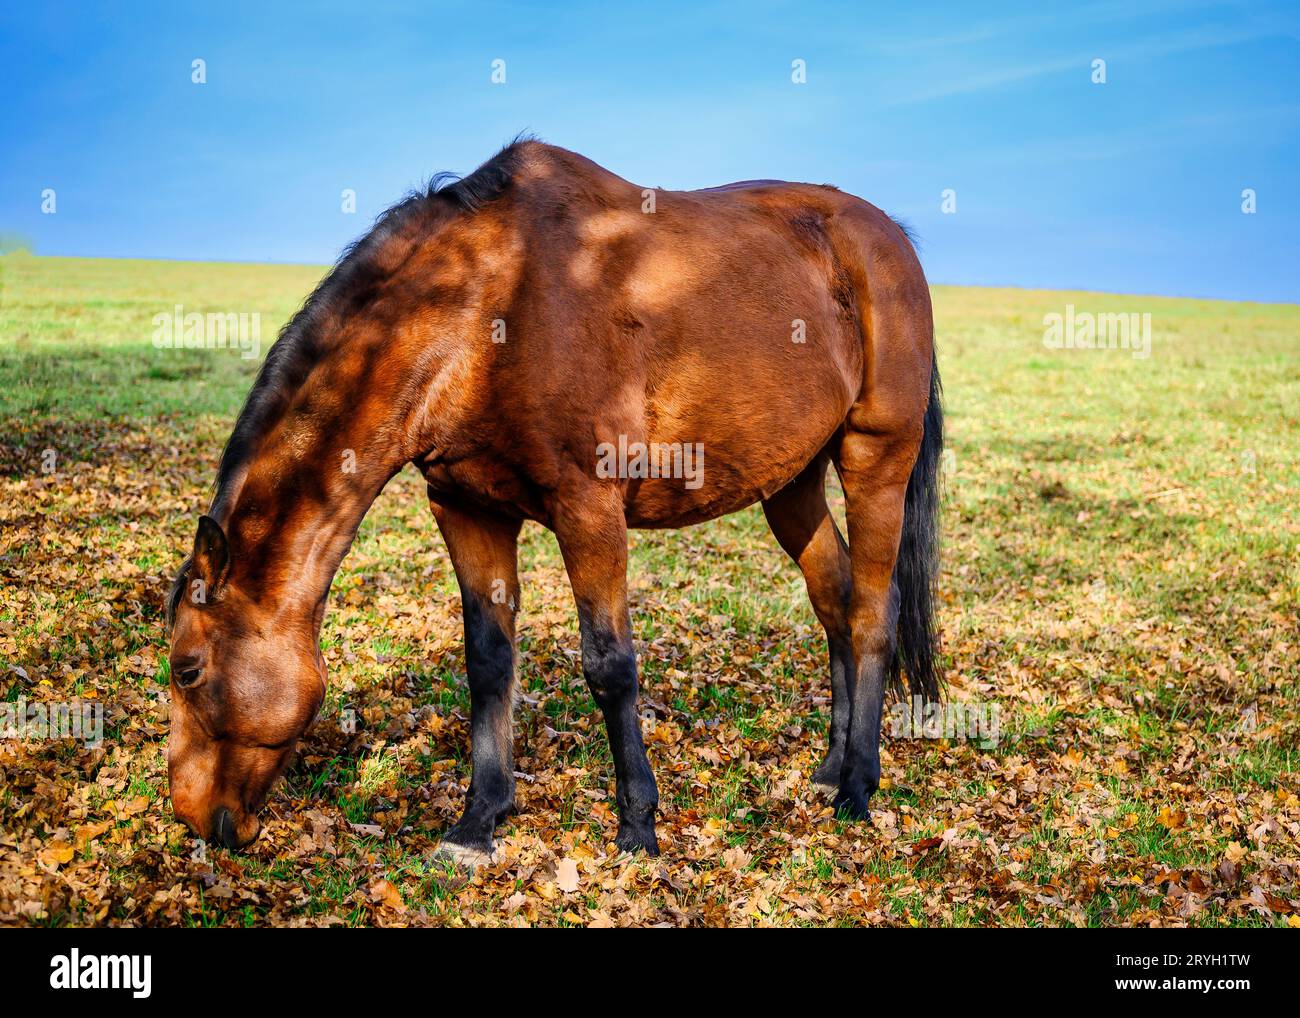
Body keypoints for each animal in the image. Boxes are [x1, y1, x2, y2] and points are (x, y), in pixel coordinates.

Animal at [164, 139, 943, 864]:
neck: (484, 306)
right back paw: (831, 766)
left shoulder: (587, 509)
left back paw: (858, 786)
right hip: (791, 484)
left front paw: (637, 826)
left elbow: (608, 664)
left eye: (187, 669)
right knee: (835, 601)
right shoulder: (467, 508)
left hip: (874, 460)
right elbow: (488, 661)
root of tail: (890, 238)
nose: (194, 819)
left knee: (872, 614)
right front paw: (479, 822)